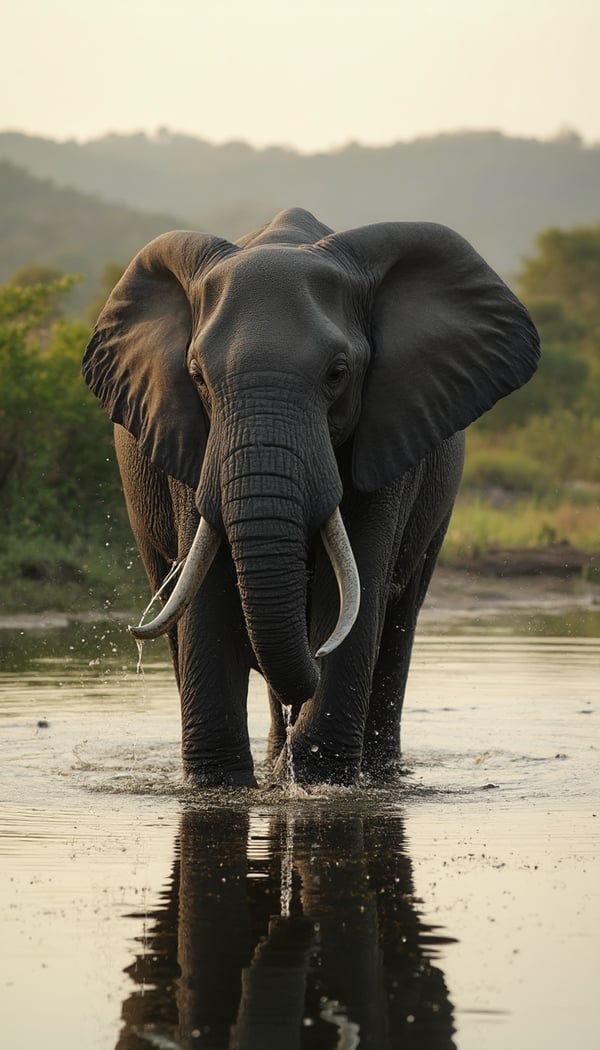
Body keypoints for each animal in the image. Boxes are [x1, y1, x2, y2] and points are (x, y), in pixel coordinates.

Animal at [82, 207, 540, 787]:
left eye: (337, 373)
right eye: (197, 377)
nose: (313, 656)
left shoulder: (389, 429)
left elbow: (355, 587)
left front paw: (321, 782)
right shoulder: (189, 443)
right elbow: (207, 591)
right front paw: (222, 786)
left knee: (399, 616)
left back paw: (372, 772)